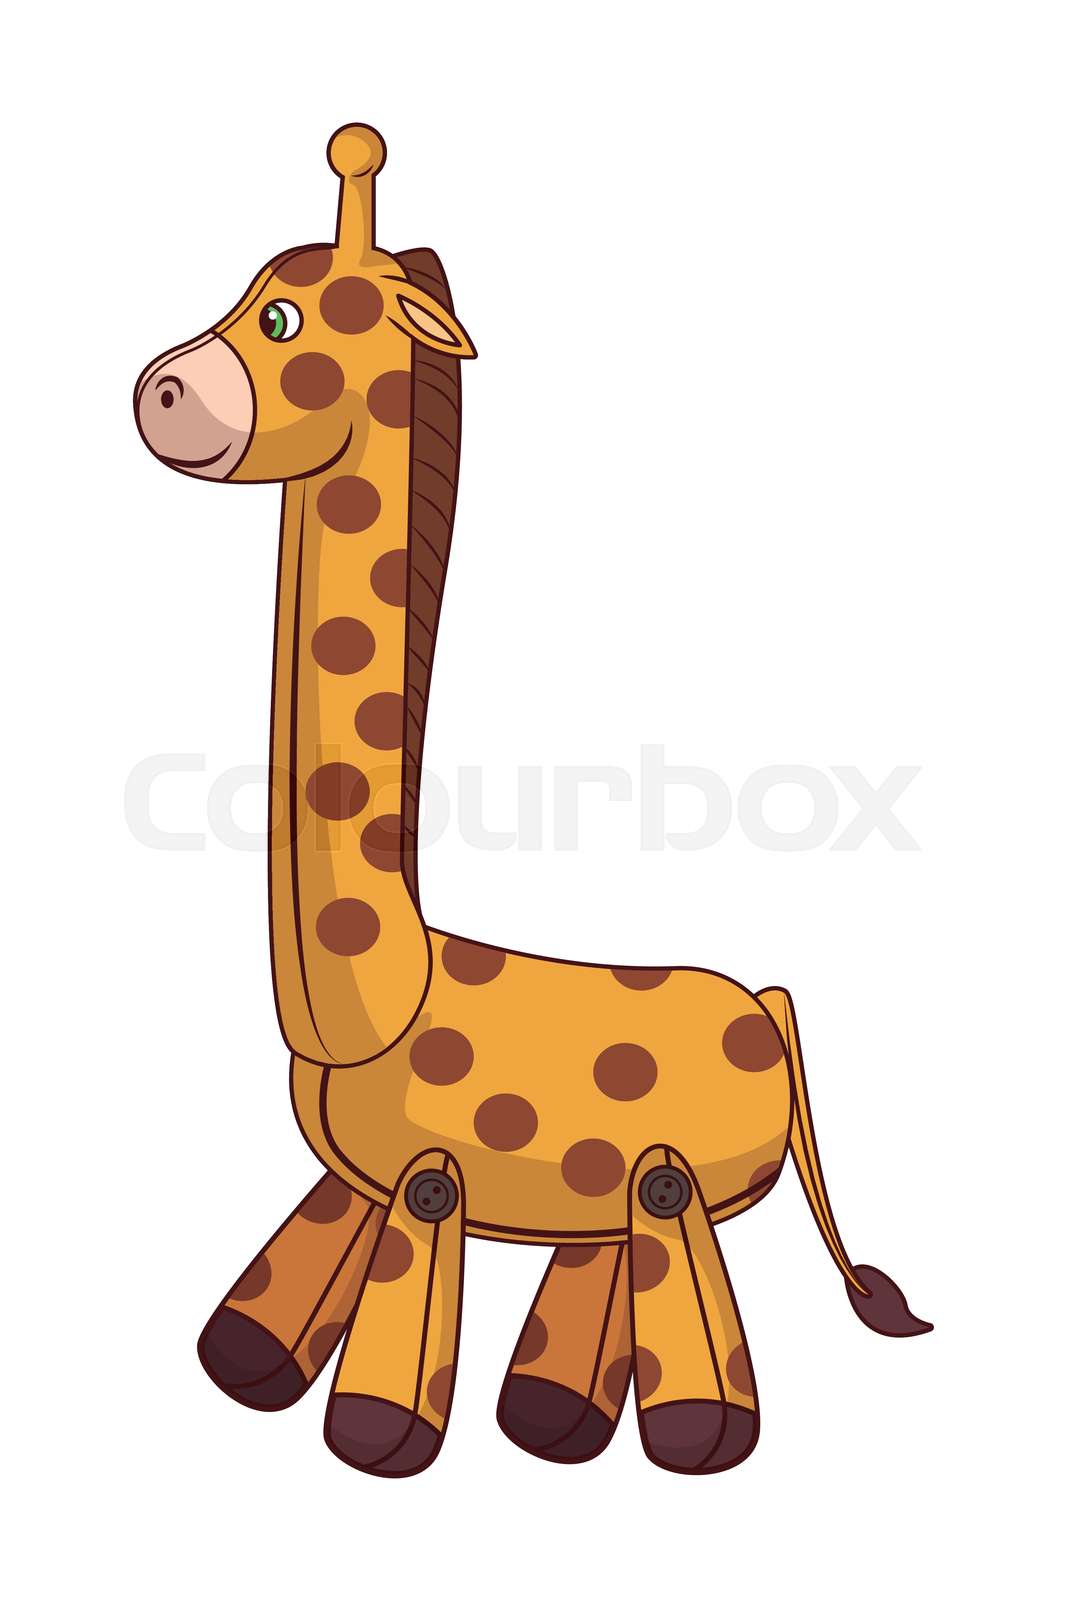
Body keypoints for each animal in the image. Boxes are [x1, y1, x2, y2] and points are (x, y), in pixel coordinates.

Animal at [134, 124, 931, 1478]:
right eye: (242, 296)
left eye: (284, 318)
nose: (163, 391)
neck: (380, 998)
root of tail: (769, 1009)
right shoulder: (356, 1184)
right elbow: (257, 1324)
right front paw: (253, 1373)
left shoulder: (428, 1183)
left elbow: (379, 1396)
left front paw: (379, 1435)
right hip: (614, 1198)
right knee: (600, 1275)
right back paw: (550, 1420)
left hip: (667, 1179)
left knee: (682, 1297)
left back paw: (685, 1432)